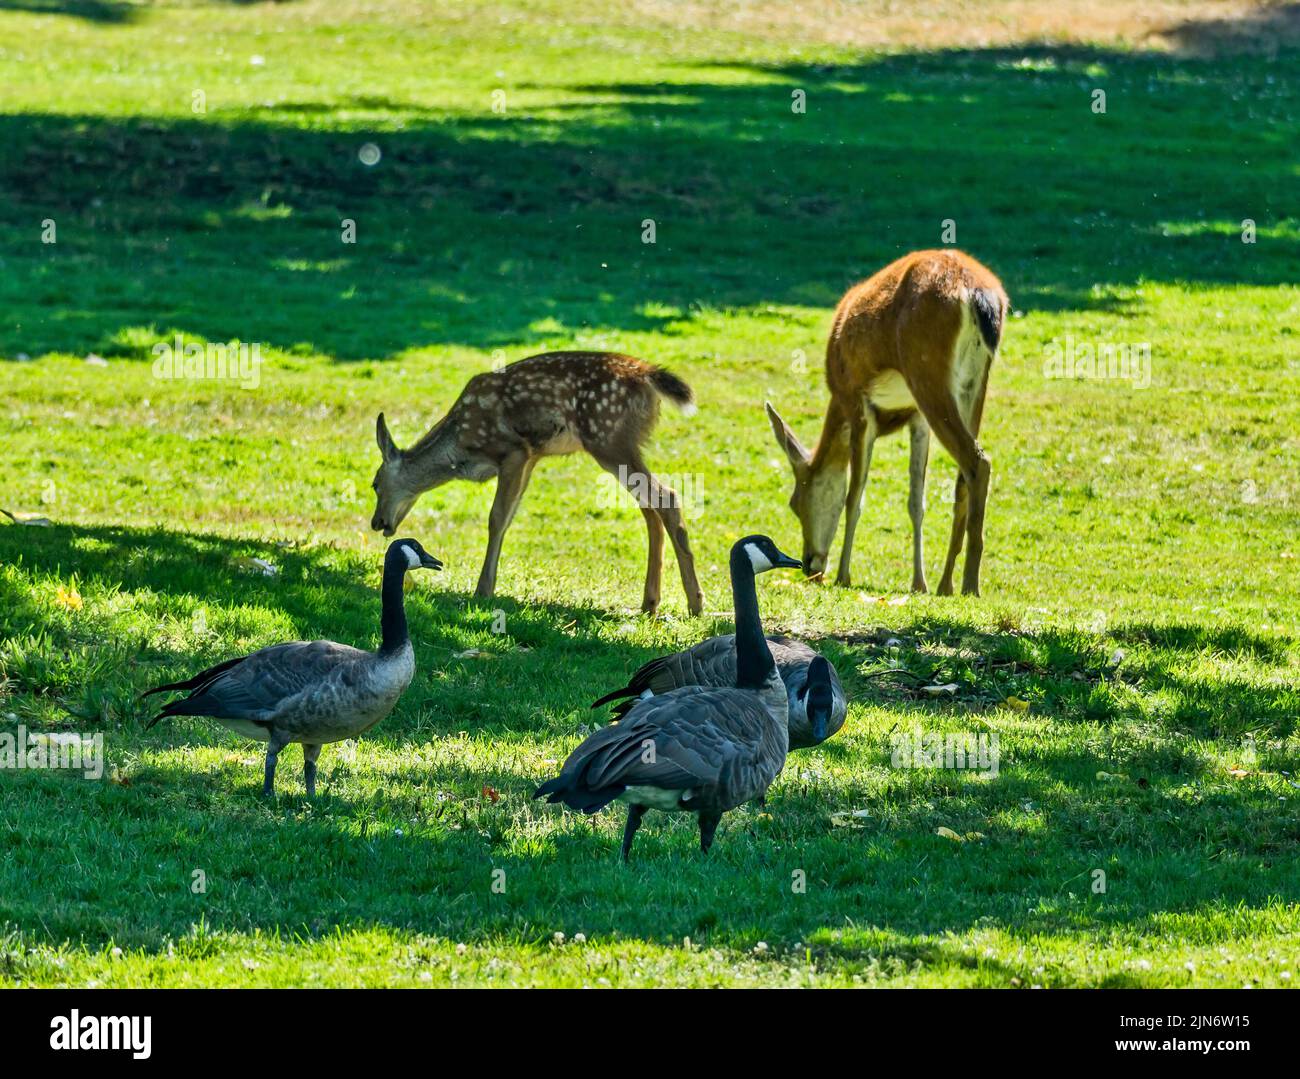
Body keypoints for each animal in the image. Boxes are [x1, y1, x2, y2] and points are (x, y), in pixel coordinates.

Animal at [370, 351, 705, 616]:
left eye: (375, 483)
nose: (376, 522)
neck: (460, 446)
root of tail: (647, 373)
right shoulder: (532, 456)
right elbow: (507, 518)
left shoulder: (513, 451)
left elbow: (497, 518)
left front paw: (483, 589)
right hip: (621, 444)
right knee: (650, 508)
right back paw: (650, 603)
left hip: (608, 437)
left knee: (667, 497)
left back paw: (695, 604)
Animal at [765, 249, 1008, 597]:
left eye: (795, 503)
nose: (809, 564)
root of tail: (980, 295)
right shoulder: (916, 417)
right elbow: (916, 501)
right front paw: (919, 582)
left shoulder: (857, 401)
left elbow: (855, 495)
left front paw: (843, 575)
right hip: (974, 381)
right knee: (964, 474)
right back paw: (945, 584)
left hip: (927, 371)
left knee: (977, 461)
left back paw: (970, 584)